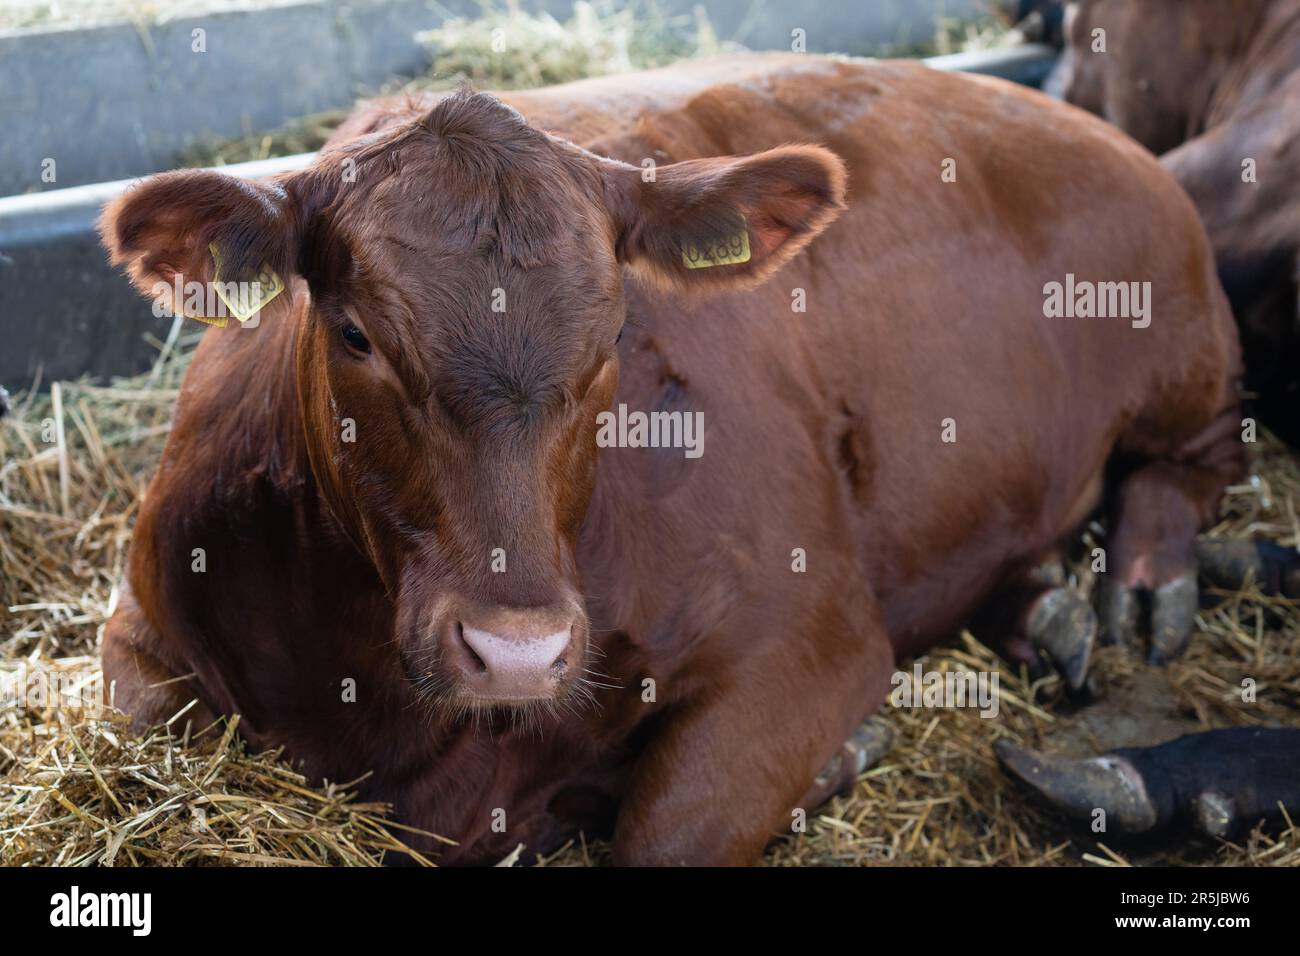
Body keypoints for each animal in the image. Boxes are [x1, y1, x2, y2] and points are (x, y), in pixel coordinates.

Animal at [100, 53, 1246, 865]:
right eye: (354, 335)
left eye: (615, 334)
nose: (516, 651)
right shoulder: (144, 627)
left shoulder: (813, 635)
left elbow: (663, 838)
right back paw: (1043, 604)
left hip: (1186, 355)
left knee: (1193, 463)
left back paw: (1144, 583)